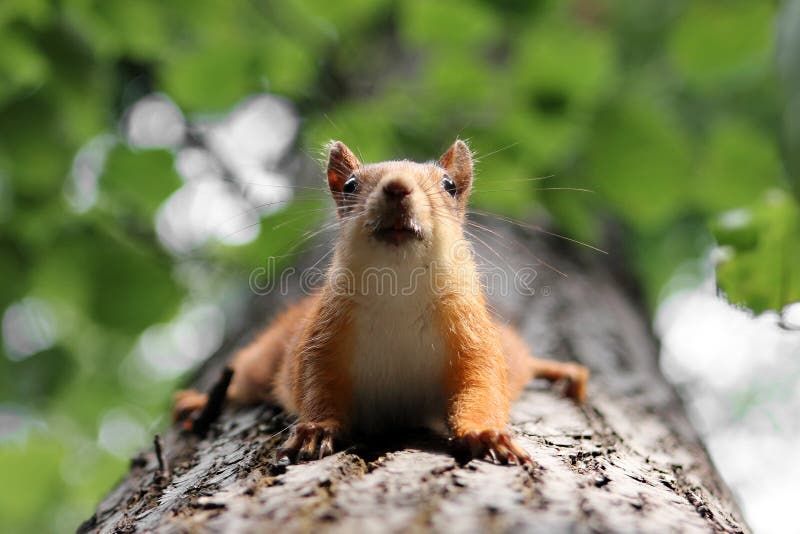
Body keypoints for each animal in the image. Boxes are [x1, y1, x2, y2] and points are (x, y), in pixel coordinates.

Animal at [174, 140, 589, 465]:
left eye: (449, 185)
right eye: (350, 185)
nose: (397, 188)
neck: (398, 286)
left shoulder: (475, 339)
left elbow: (482, 384)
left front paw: (485, 434)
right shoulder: (321, 337)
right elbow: (313, 381)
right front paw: (315, 430)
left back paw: (560, 371)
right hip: (263, 359)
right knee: (243, 378)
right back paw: (196, 401)